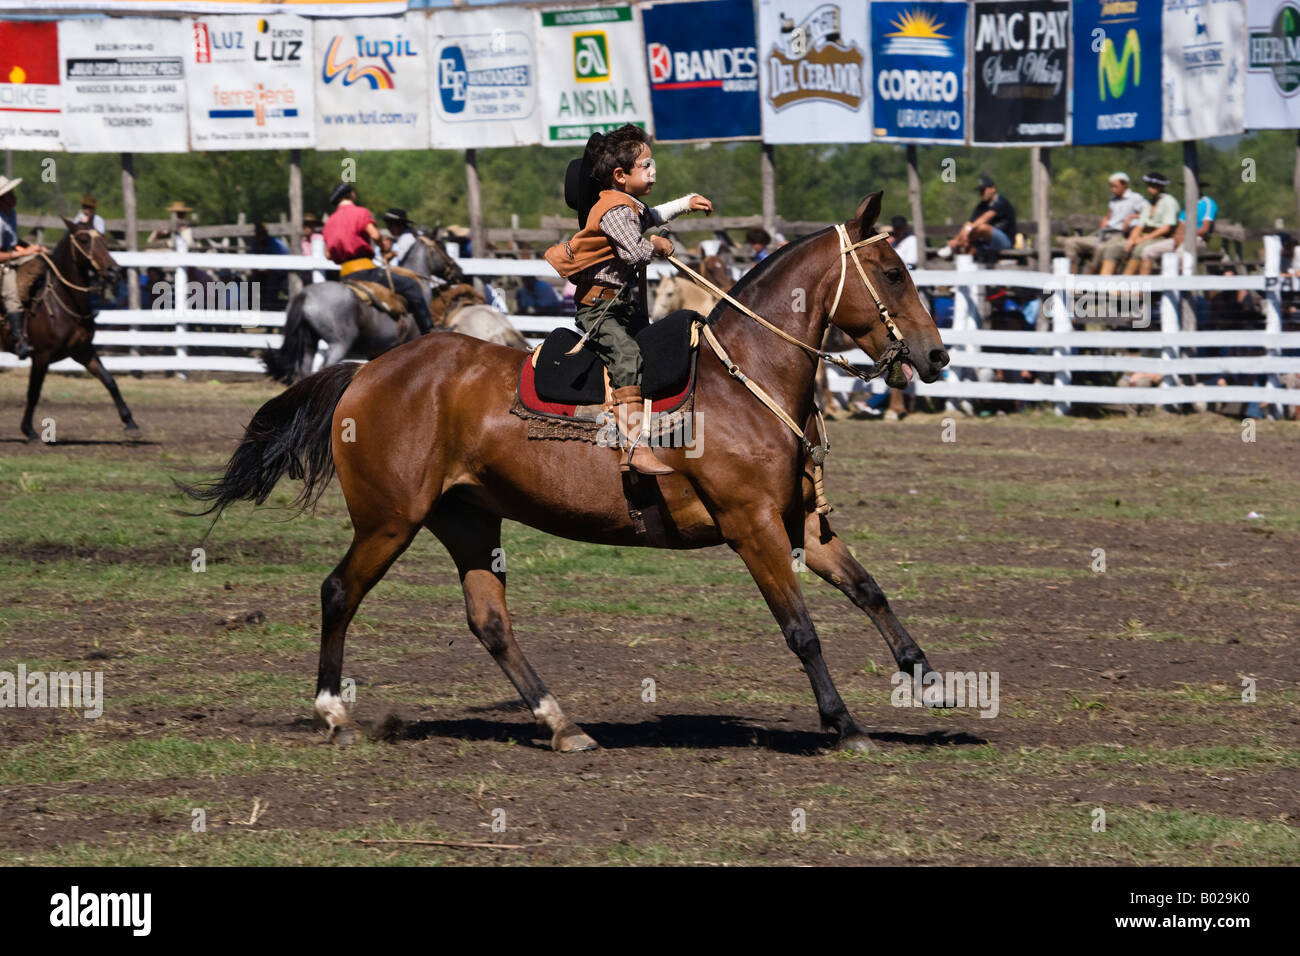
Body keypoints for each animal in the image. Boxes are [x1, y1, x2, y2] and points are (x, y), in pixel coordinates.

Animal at [1, 219, 140, 441]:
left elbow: (109, 380)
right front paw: (29, 430)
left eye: (102, 238)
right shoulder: (41, 355)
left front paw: (130, 423)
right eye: (83, 240)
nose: (113, 271)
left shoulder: (83, 350)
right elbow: (33, 392)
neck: (62, 300)